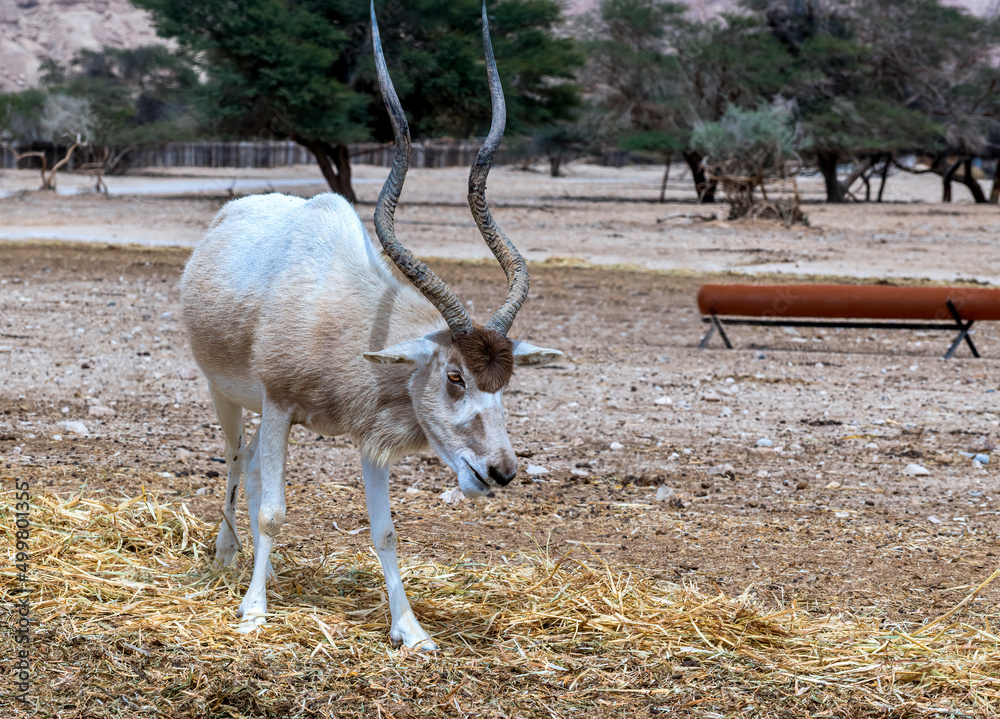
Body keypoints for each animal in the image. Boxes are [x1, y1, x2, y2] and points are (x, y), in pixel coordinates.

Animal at [179, 1, 562, 650]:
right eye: (454, 376)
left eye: (505, 382)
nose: (501, 471)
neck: (339, 307)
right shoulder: (279, 406)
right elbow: (273, 510)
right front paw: (253, 612)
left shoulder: (368, 434)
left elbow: (384, 531)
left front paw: (411, 630)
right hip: (225, 393)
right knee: (236, 462)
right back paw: (228, 558)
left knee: (251, 466)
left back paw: (264, 568)